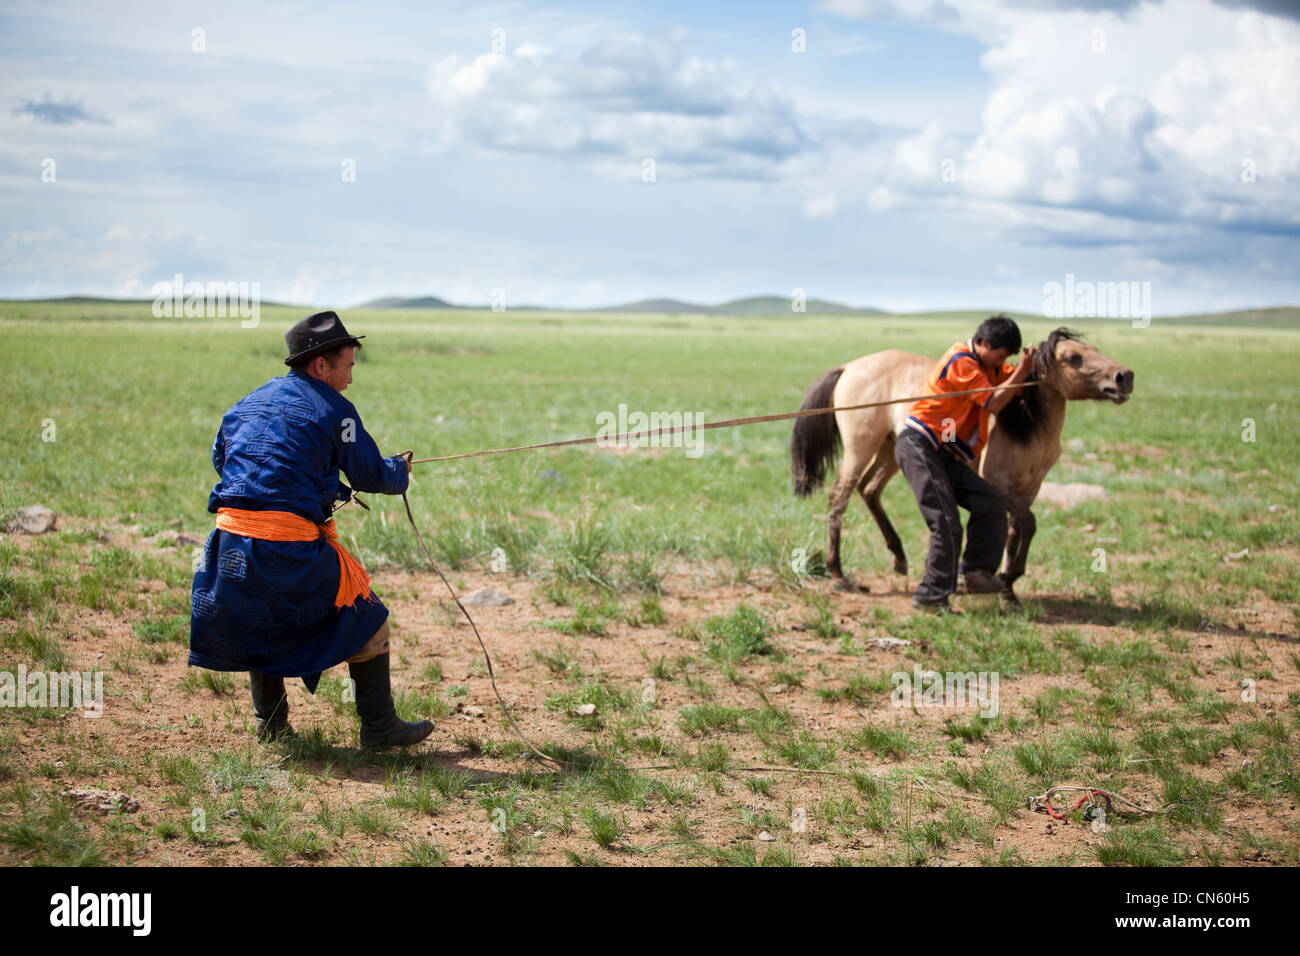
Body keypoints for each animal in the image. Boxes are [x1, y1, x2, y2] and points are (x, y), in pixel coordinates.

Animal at [790, 328, 1134, 601]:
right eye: (1074, 357)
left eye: (1095, 350)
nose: (1125, 376)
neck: (1024, 423)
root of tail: (849, 367)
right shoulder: (997, 482)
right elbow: (1028, 522)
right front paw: (1005, 579)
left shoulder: (1030, 488)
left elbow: (1017, 530)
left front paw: (1009, 591)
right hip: (860, 447)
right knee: (840, 496)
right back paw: (838, 574)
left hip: (888, 448)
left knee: (869, 489)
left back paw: (899, 558)